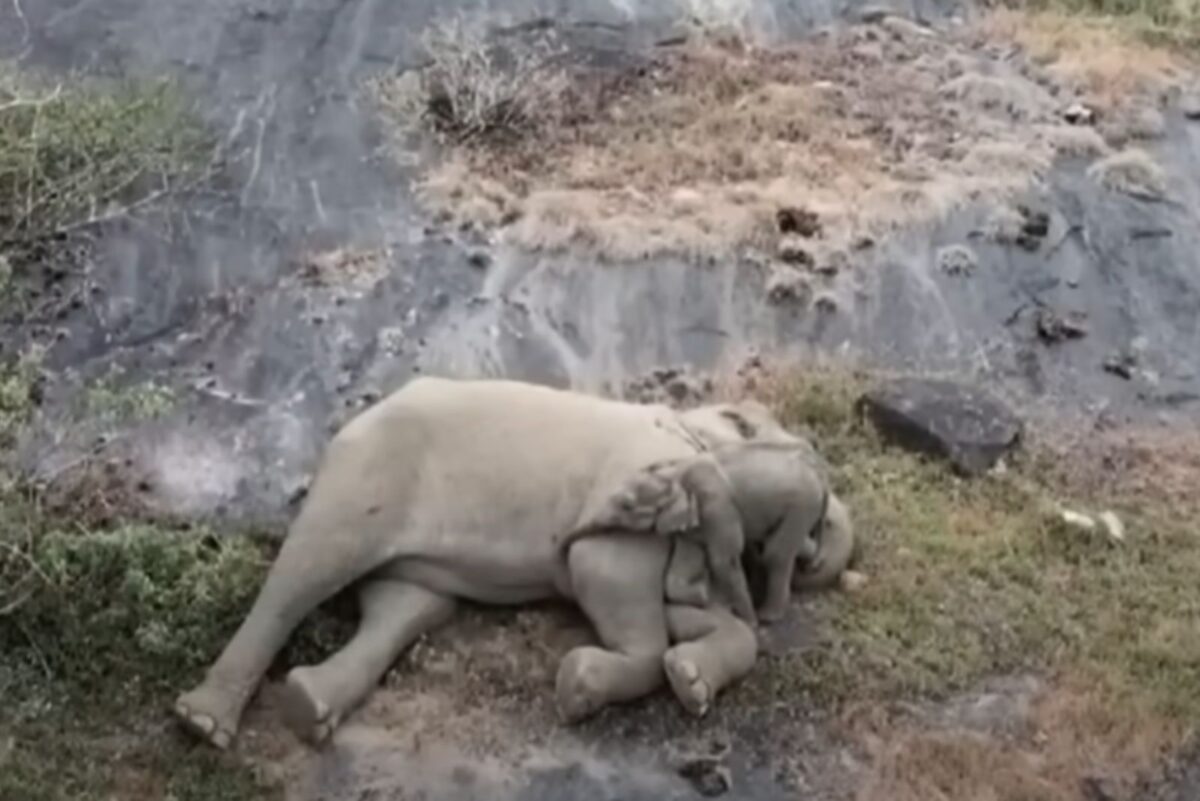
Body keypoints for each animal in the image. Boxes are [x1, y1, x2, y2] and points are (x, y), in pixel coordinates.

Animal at [172, 377, 856, 750]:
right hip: (367, 475)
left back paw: (307, 706)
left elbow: (686, 617)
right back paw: (203, 724)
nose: (818, 550)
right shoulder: (636, 482)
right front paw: (577, 689)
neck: (688, 424)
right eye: (798, 492)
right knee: (308, 570)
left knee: (405, 606)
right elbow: (603, 573)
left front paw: (691, 678)